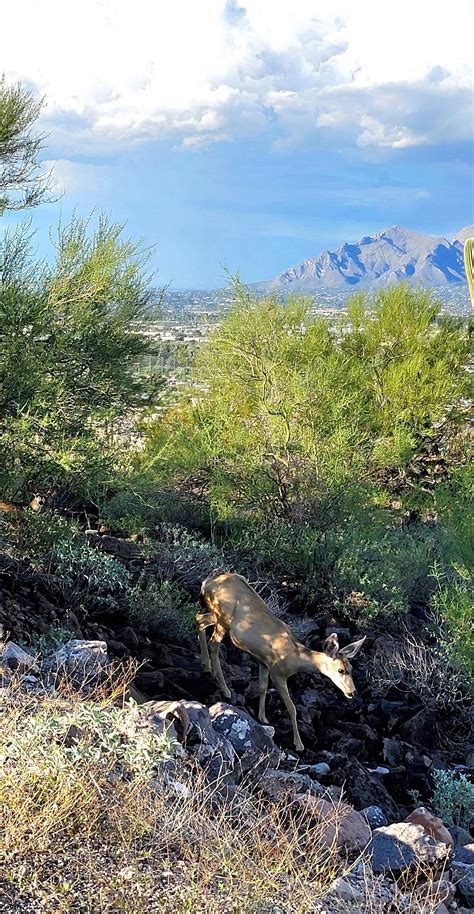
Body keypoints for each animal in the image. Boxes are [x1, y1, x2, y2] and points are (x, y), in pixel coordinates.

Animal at [197, 572, 366, 752]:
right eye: (340, 670)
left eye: (351, 668)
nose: (352, 692)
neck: (295, 657)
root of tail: (208, 583)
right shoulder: (278, 673)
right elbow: (291, 707)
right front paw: (299, 744)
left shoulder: (263, 662)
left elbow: (262, 687)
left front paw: (262, 717)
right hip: (223, 617)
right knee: (213, 643)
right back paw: (225, 689)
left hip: (216, 615)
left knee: (199, 619)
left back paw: (206, 666)